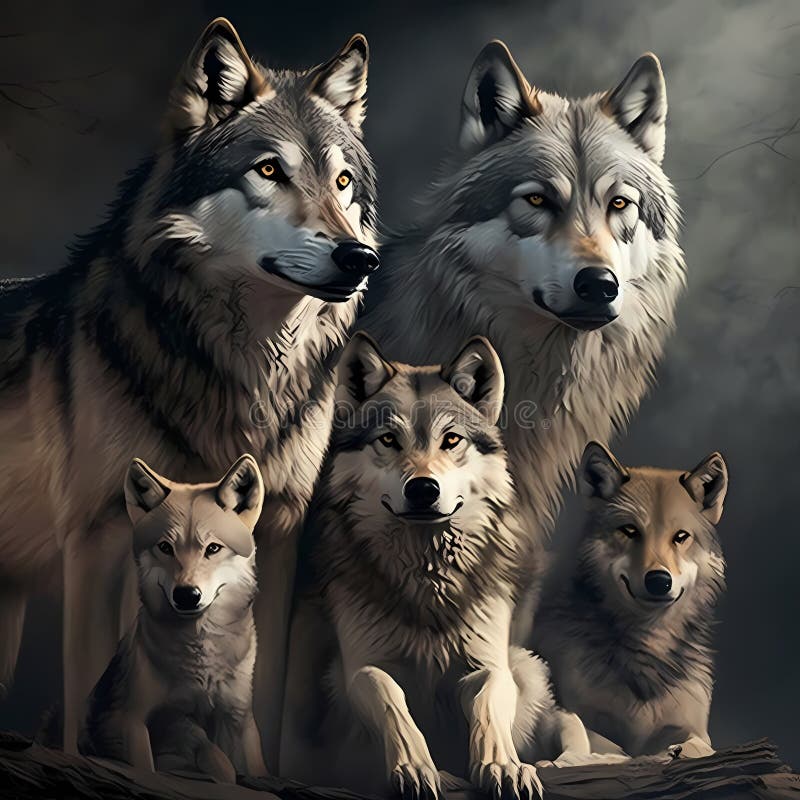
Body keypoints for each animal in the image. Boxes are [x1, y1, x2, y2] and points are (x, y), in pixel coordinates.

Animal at [80, 454, 268, 781]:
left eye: (213, 548)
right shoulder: (134, 720)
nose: (187, 595)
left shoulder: (240, 719)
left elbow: (249, 768)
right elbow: (150, 765)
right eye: (165, 547)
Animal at [281, 333, 602, 799]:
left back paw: (559, 763)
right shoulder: (357, 668)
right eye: (388, 440)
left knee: (570, 723)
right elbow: (393, 701)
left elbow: (487, 707)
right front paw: (416, 768)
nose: (422, 489)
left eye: (451, 440)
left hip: (525, 666)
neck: (426, 577)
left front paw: (503, 767)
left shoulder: (490, 666)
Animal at [534, 442, 728, 759]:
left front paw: (674, 751)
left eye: (681, 537)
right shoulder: (577, 713)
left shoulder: (696, 730)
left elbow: (699, 745)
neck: (647, 646)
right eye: (629, 530)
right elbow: (607, 743)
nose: (659, 580)